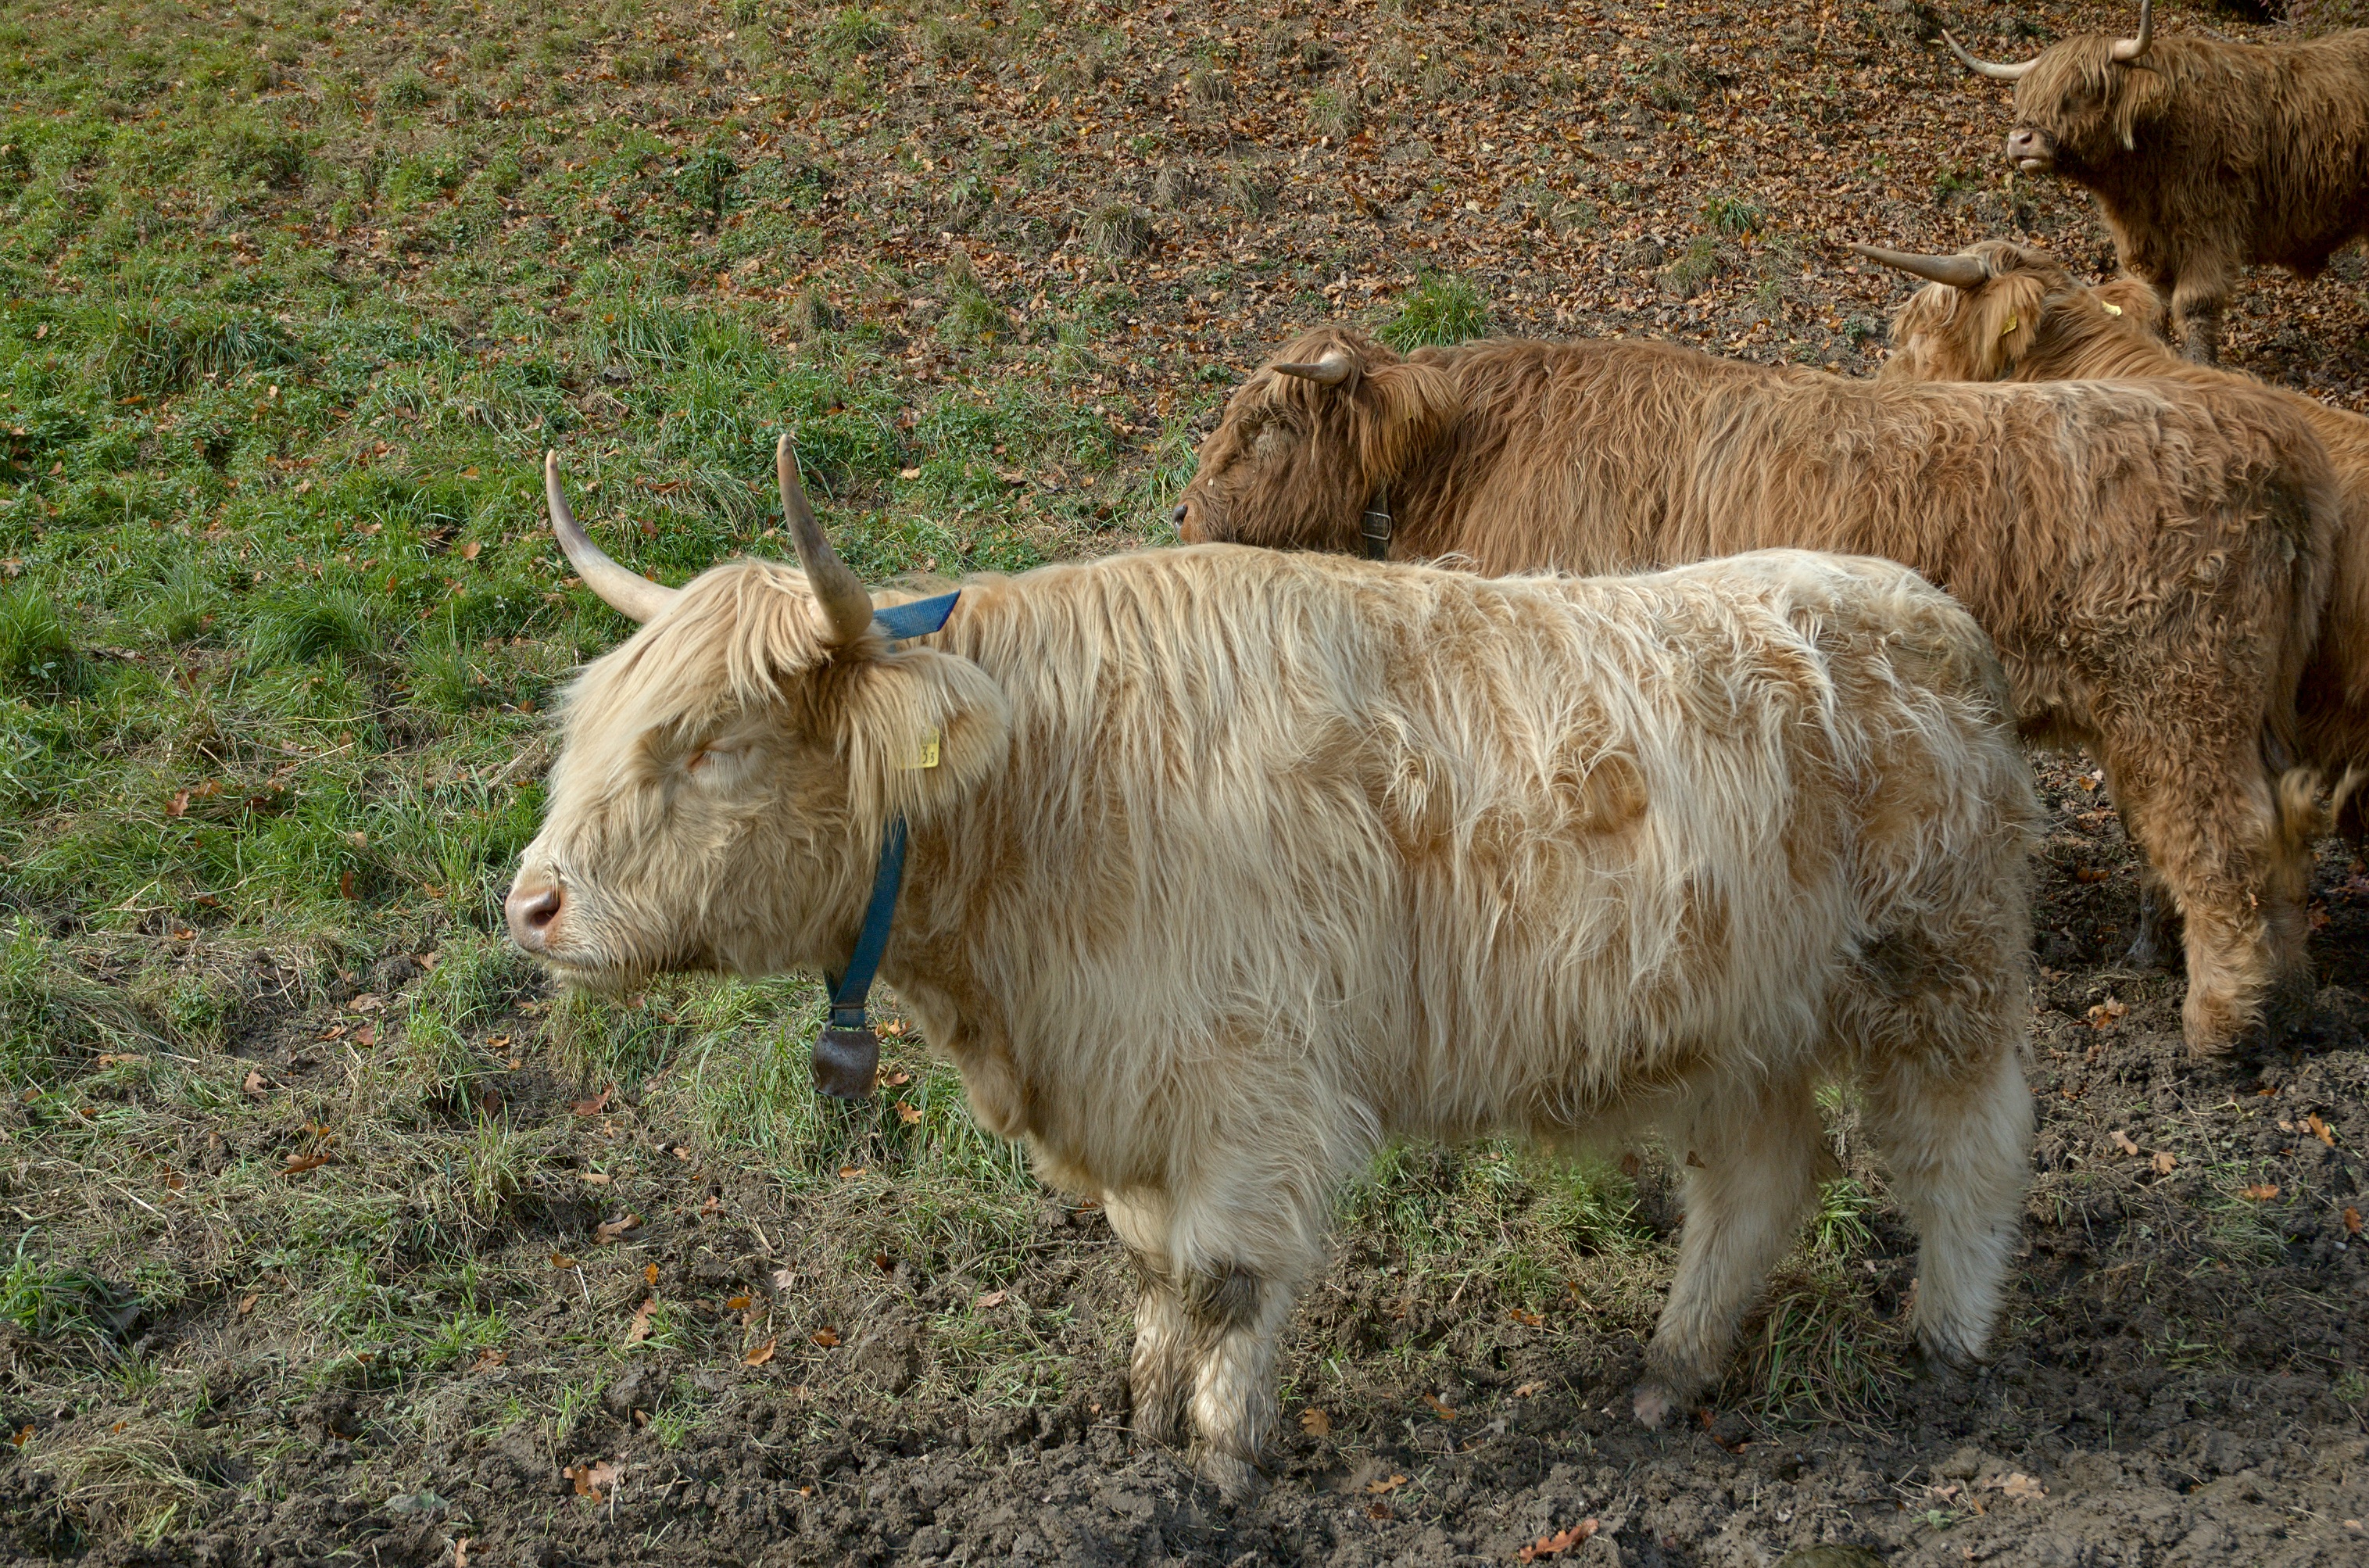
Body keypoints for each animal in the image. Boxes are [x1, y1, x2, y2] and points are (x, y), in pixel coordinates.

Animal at [508, 438, 2041, 1498]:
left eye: (711, 744)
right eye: (599, 721)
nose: (529, 906)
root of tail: (1928, 611)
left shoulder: (1251, 1077)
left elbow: (1228, 1277)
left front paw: (1217, 1464)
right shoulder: (1133, 1083)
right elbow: (1150, 1268)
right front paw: (1136, 1427)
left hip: (1936, 974)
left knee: (1966, 1151)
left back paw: (1947, 1349)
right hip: (1737, 1017)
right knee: (1762, 1180)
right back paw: (1667, 1373)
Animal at [1171, 324, 2339, 1056]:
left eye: (1264, 426)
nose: (1182, 513)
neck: (1467, 458)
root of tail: (2270, 437)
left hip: (2177, 701)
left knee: (2225, 842)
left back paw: (2221, 1025)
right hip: (2238, 715)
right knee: (2285, 831)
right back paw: (2287, 995)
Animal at [1943, 0, 2369, 364]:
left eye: (2083, 90)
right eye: (2027, 93)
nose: (2020, 141)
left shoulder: (2210, 226)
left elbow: (2195, 303)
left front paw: (2198, 363)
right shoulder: (2143, 236)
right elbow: (2153, 300)